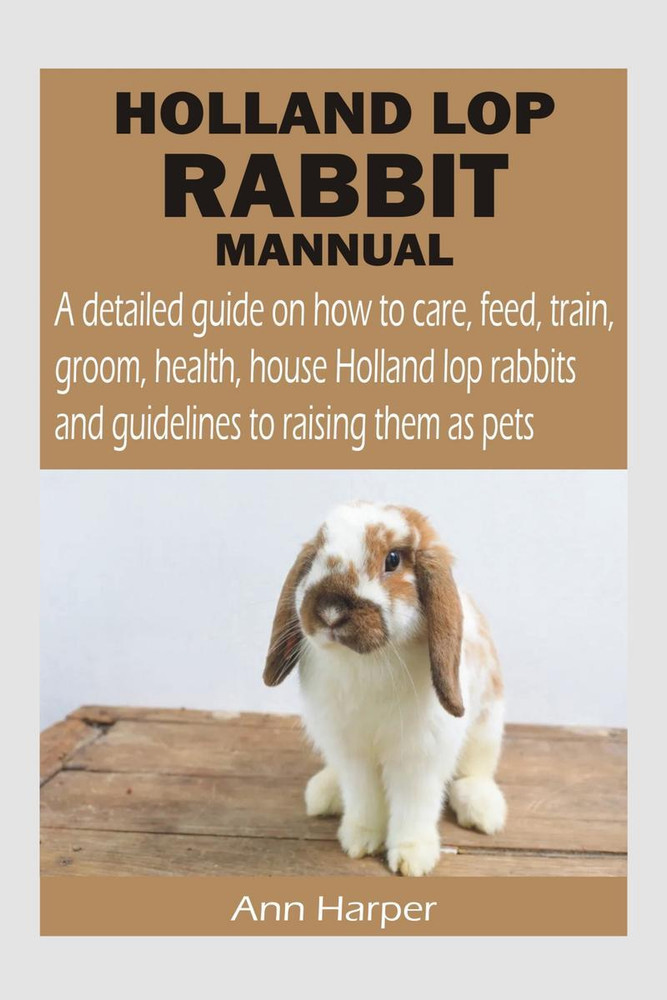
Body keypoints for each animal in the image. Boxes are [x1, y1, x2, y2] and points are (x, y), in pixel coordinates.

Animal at [263, 501, 506, 876]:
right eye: (318, 553)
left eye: (393, 560)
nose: (330, 610)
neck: (365, 662)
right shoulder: (352, 752)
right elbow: (363, 797)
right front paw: (360, 841)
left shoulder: (419, 757)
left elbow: (413, 806)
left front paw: (412, 857)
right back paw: (325, 792)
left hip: (487, 729)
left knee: (473, 771)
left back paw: (483, 811)